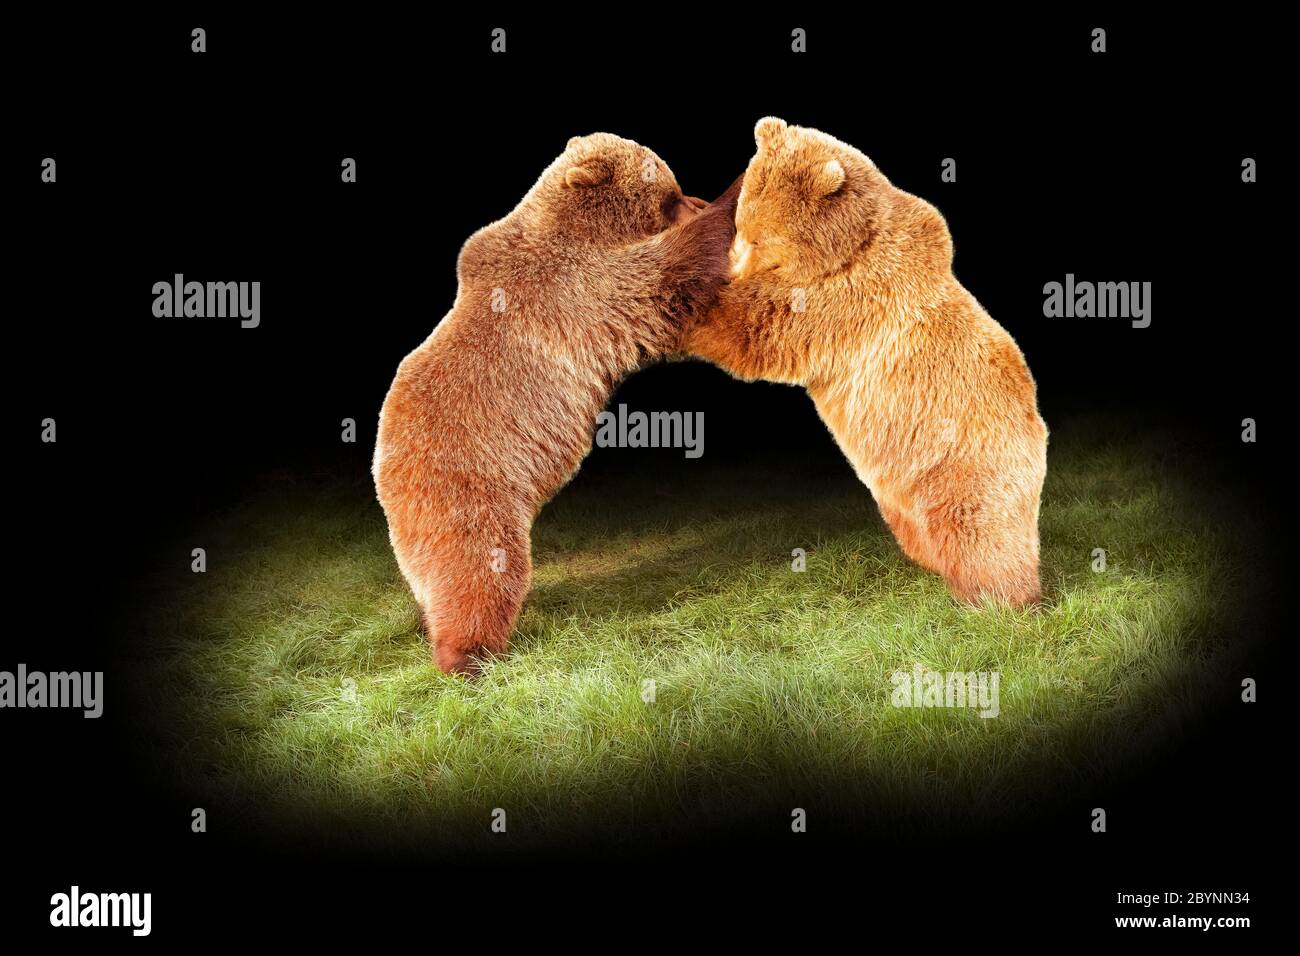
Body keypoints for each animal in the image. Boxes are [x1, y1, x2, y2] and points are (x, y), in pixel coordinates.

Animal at [374, 133, 740, 674]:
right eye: (670, 195)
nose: (694, 198)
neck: (582, 229)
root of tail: (384, 478)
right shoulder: (578, 288)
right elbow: (665, 278)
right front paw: (734, 194)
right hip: (469, 495)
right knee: (480, 574)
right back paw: (468, 657)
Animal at [681, 118, 1048, 607]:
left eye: (760, 237)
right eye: (741, 225)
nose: (736, 264)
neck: (846, 245)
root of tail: (1039, 430)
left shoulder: (846, 300)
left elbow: (759, 326)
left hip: (967, 464)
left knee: (980, 533)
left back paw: (997, 599)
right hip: (903, 498)